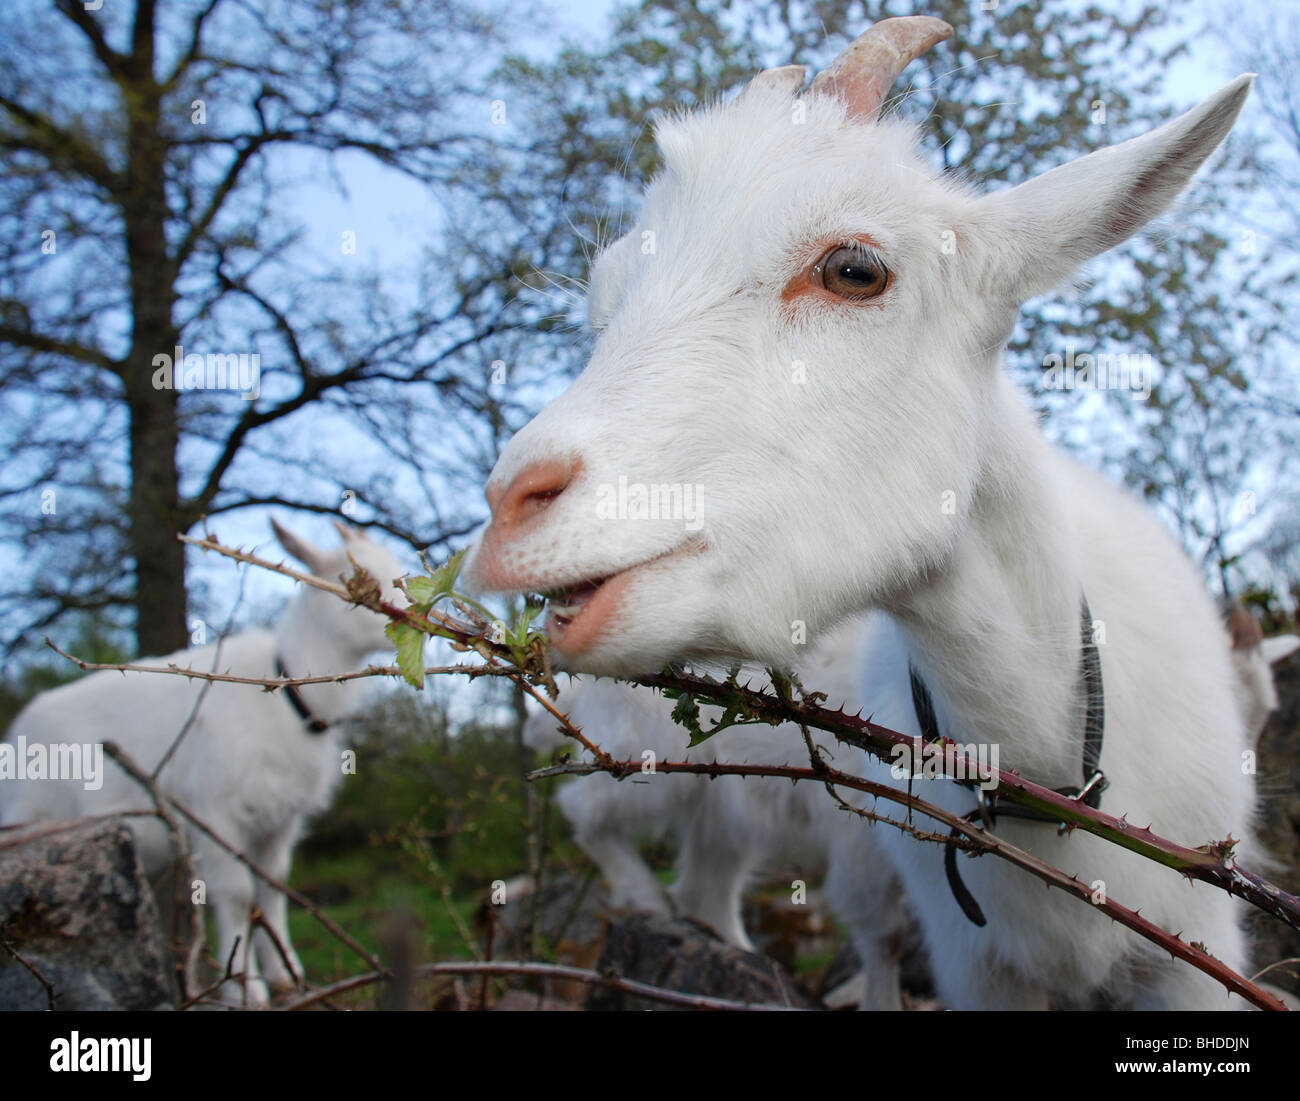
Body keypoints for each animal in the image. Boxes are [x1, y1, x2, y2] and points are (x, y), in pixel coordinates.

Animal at [0, 520, 406, 1006]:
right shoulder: (215, 809)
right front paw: (247, 990)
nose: (414, 614)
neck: (289, 695)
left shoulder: (280, 817)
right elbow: (236, 893)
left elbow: (273, 885)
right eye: (361, 582)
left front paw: (288, 976)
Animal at [527, 615, 908, 1009]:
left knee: (704, 890)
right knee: (583, 805)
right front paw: (883, 1001)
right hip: (647, 753)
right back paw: (645, 894)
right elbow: (885, 934)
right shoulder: (864, 831)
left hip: (721, 803)